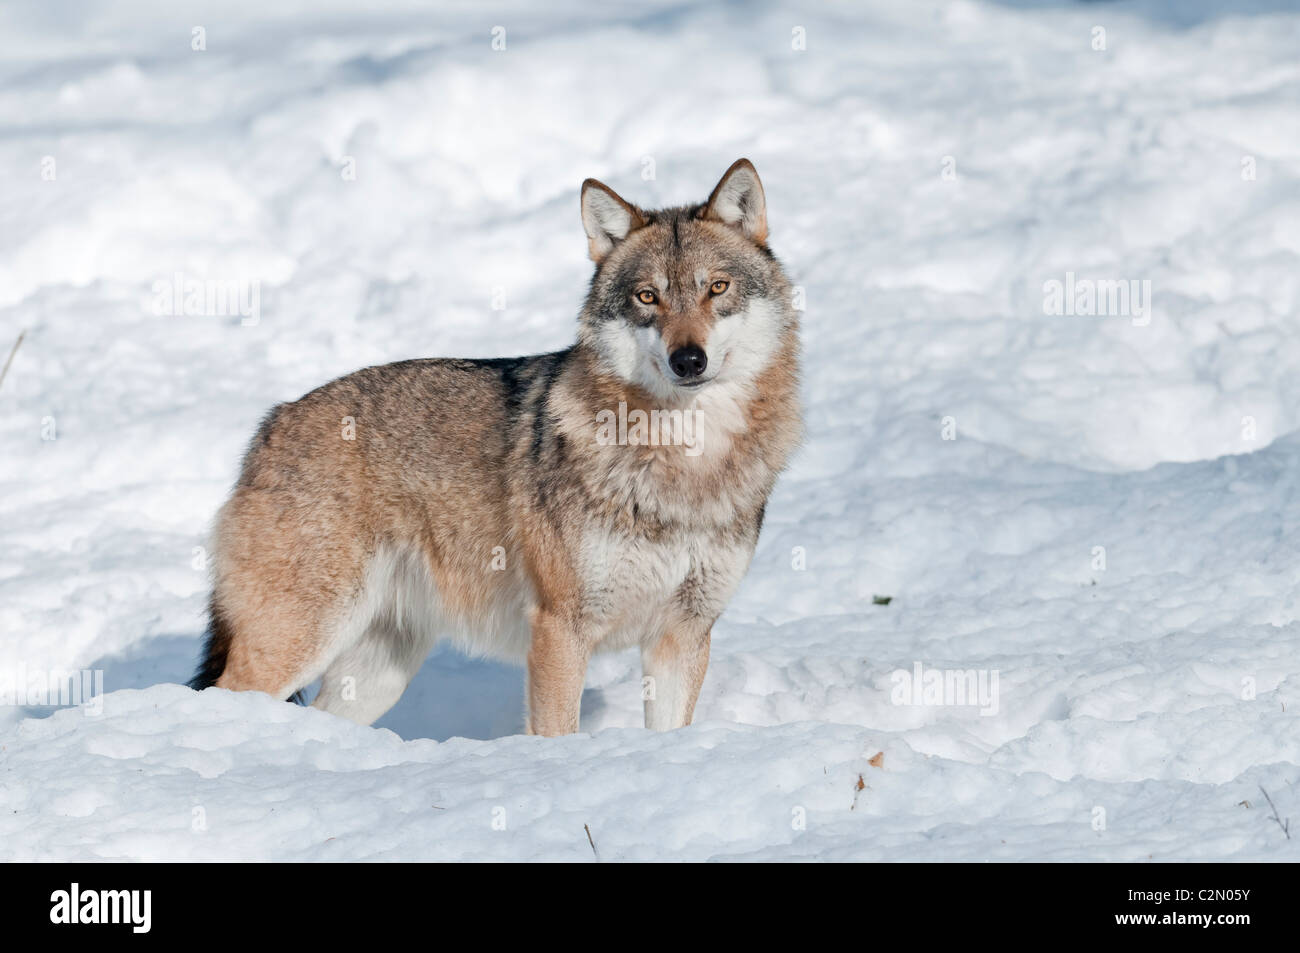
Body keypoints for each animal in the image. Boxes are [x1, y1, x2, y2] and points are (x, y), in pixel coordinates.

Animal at [189, 159, 802, 736]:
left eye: (716, 288)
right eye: (647, 297)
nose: (688, 360)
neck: (685, 462)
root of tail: (271, 423)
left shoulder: (683, 634)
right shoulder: (560, 627)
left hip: (377, 671)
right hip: (302, 637)